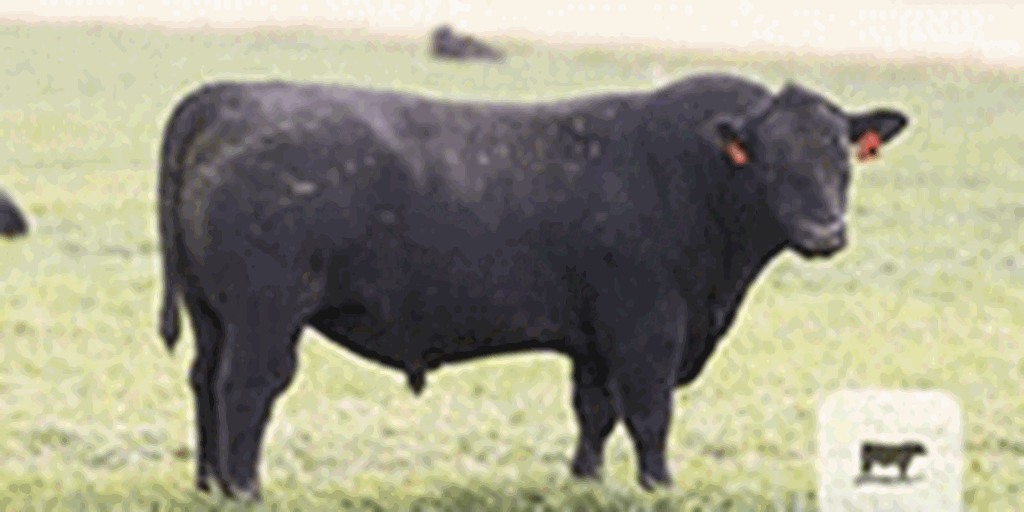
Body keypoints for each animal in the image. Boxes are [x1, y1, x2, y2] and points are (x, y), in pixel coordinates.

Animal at [156, 72, 909, 501]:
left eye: (843, 159)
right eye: (772, 161)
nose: (825, 233)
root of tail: (234, 96)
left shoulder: (595, 337)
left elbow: (594, 412)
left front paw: (586, 482)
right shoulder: (648, 326)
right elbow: (650, 412)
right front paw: (659, 486)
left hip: (212, 314)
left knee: (203, 383)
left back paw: (208, 483)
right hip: (265, 314)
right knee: (246, 390)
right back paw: (245, 488)